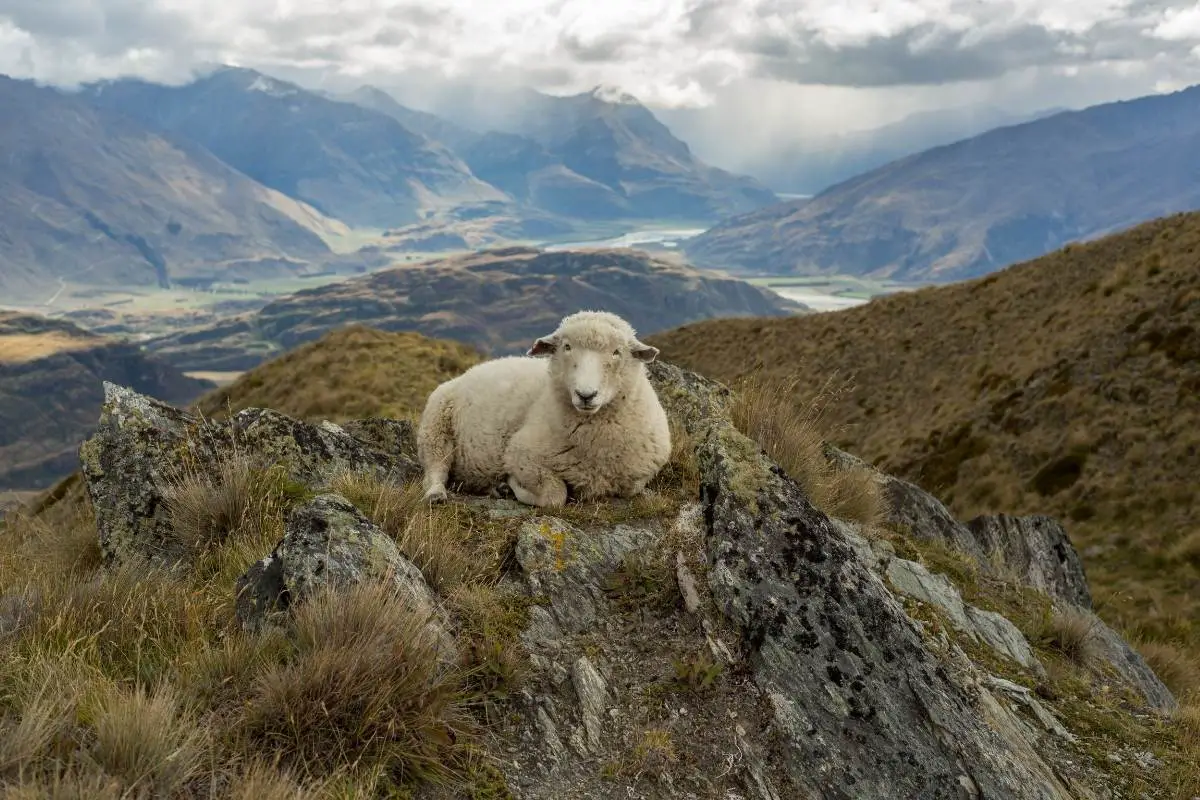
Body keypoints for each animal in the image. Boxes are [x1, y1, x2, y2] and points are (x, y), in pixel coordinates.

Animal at [416, 310, 672, 508]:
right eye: (567, 347)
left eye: (617, 352)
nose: (586, 395)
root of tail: (467, 373)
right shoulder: (521, 455)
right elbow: (554, 496)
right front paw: (514, 486)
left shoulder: (639, 476)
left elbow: (633, 488)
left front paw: (505, 487)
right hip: (435, 429)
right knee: (435, 470)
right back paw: (437, 494)